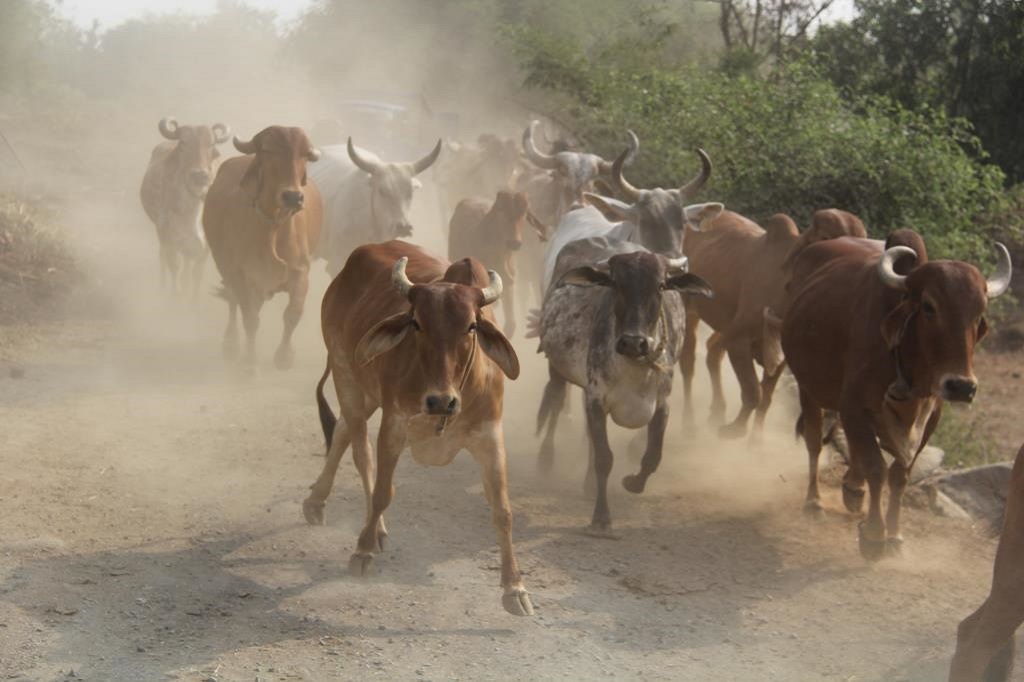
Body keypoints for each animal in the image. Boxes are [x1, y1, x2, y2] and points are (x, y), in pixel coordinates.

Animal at [140, 117, 229, 299]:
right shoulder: (167, 234)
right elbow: (174, 265)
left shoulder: (205, 245)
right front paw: (175, 296)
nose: (200, 175)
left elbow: (197, 273)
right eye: (183, 143)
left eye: (211, 144)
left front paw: (193, 300)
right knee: (163, 258)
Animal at [202, 125, 323, 370]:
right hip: (227, 271)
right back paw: (231, 344)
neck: (272, 228)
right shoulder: (239, 274)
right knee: (233, 303)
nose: (293, 197)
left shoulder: (301, 272)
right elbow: (249, 318)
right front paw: (249, 363)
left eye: (305, 154)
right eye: (268, 150)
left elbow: (293, 313)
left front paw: (284, 356)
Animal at [301, 240, 532, 616]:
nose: (441, 402)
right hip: (345, 375)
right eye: (417, 323)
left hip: (366, 392)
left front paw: (515, 588)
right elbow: (383, 492)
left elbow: (503, 511)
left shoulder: (490, 437)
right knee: (360, 452)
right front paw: (362, 551)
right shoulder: (394, 427)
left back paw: (317, 502)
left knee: (342, 431)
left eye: (471, 326)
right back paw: (372, 528)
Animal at [680, 209, 868, 440]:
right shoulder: (738, 339)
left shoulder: (781, 357)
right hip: (689, 309)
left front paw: (756, 440)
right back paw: (689, 422)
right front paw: (735, 430)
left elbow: (766, 399)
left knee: (712, 352)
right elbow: (754, 392)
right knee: (688, 362)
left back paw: (717, 412)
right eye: (826, 239)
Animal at [781, 232, 1011, 558]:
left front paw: (896, 536)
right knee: (814, 440)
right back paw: (814, 503)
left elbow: (899, 475)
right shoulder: (853, 406)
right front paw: (874, 537)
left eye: (979, 314)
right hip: (808, 386)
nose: (961, 387)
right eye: (928, 306)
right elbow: (877, 468)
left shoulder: (929, 419)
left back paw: (854, 489)